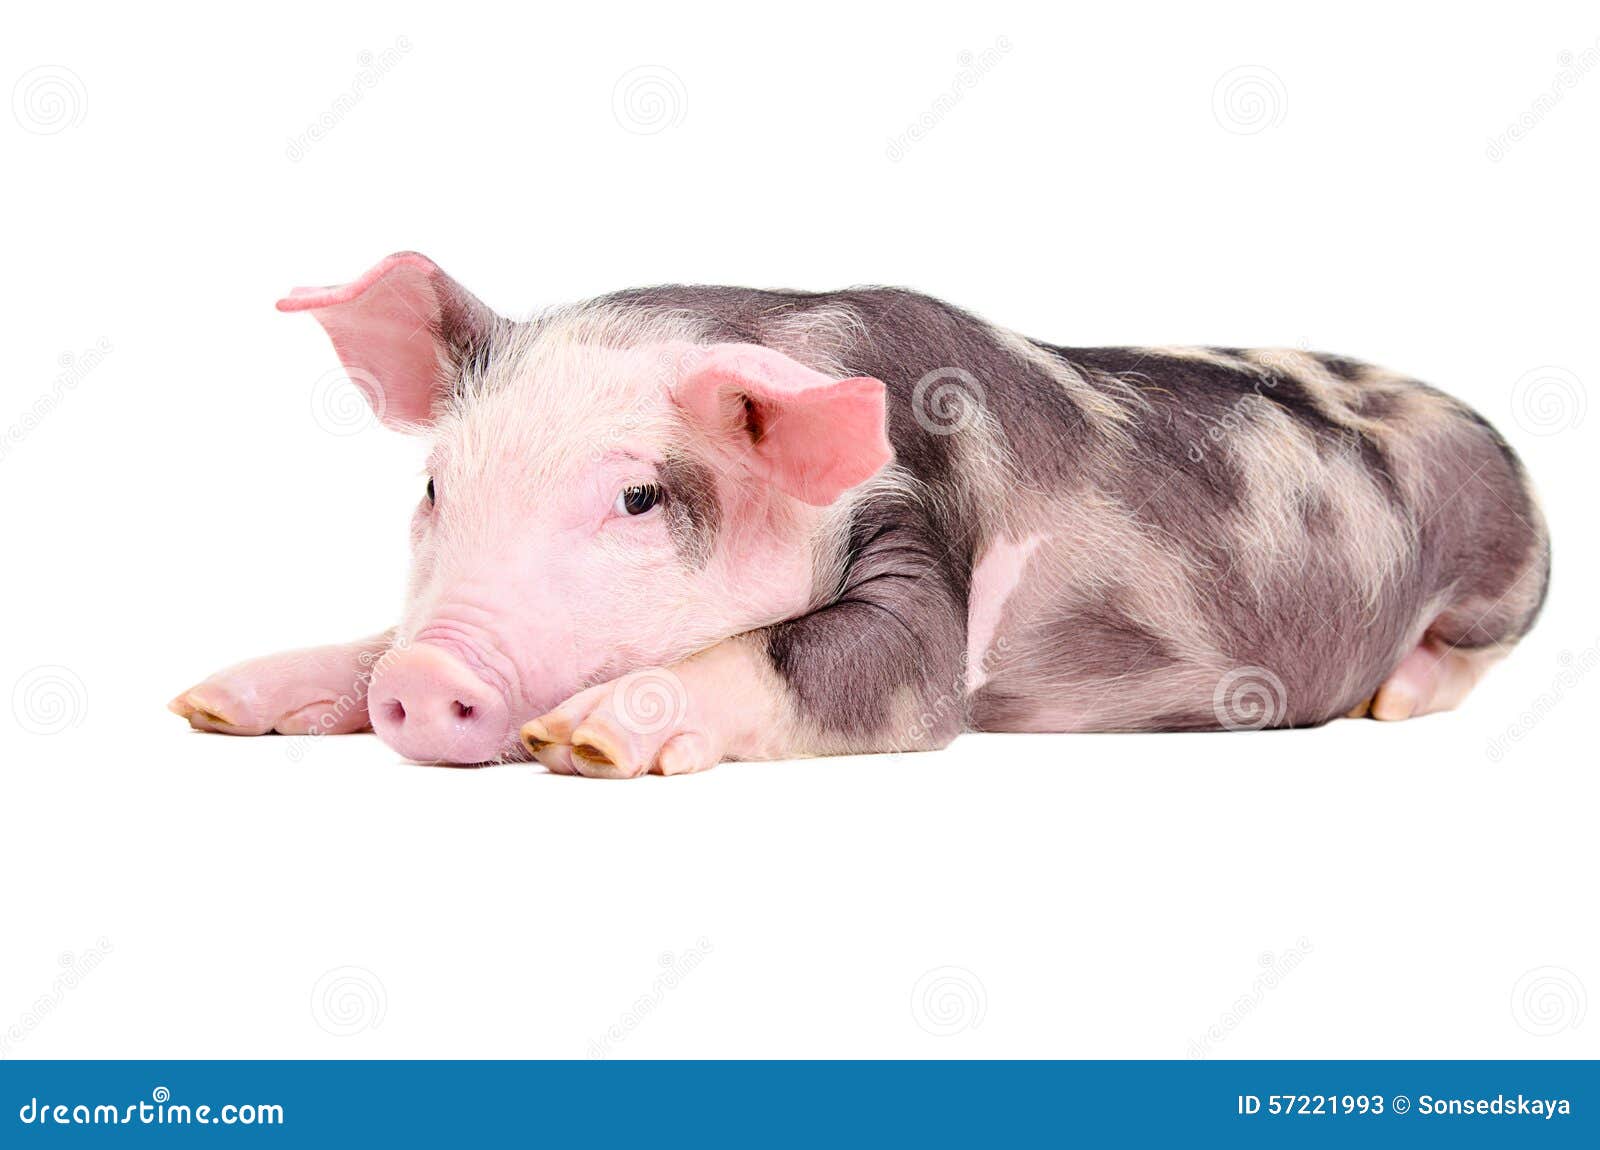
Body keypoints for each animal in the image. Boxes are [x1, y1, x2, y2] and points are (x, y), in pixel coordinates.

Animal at [169, 252, 1551, 776]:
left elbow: (829, 659)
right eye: (434, 487)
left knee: (1473, 655)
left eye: (637, 496)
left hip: (1506, 576)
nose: (428, 679)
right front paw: (217, 704)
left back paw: (1393, 703)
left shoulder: (924, 567)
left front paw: (588, 737)